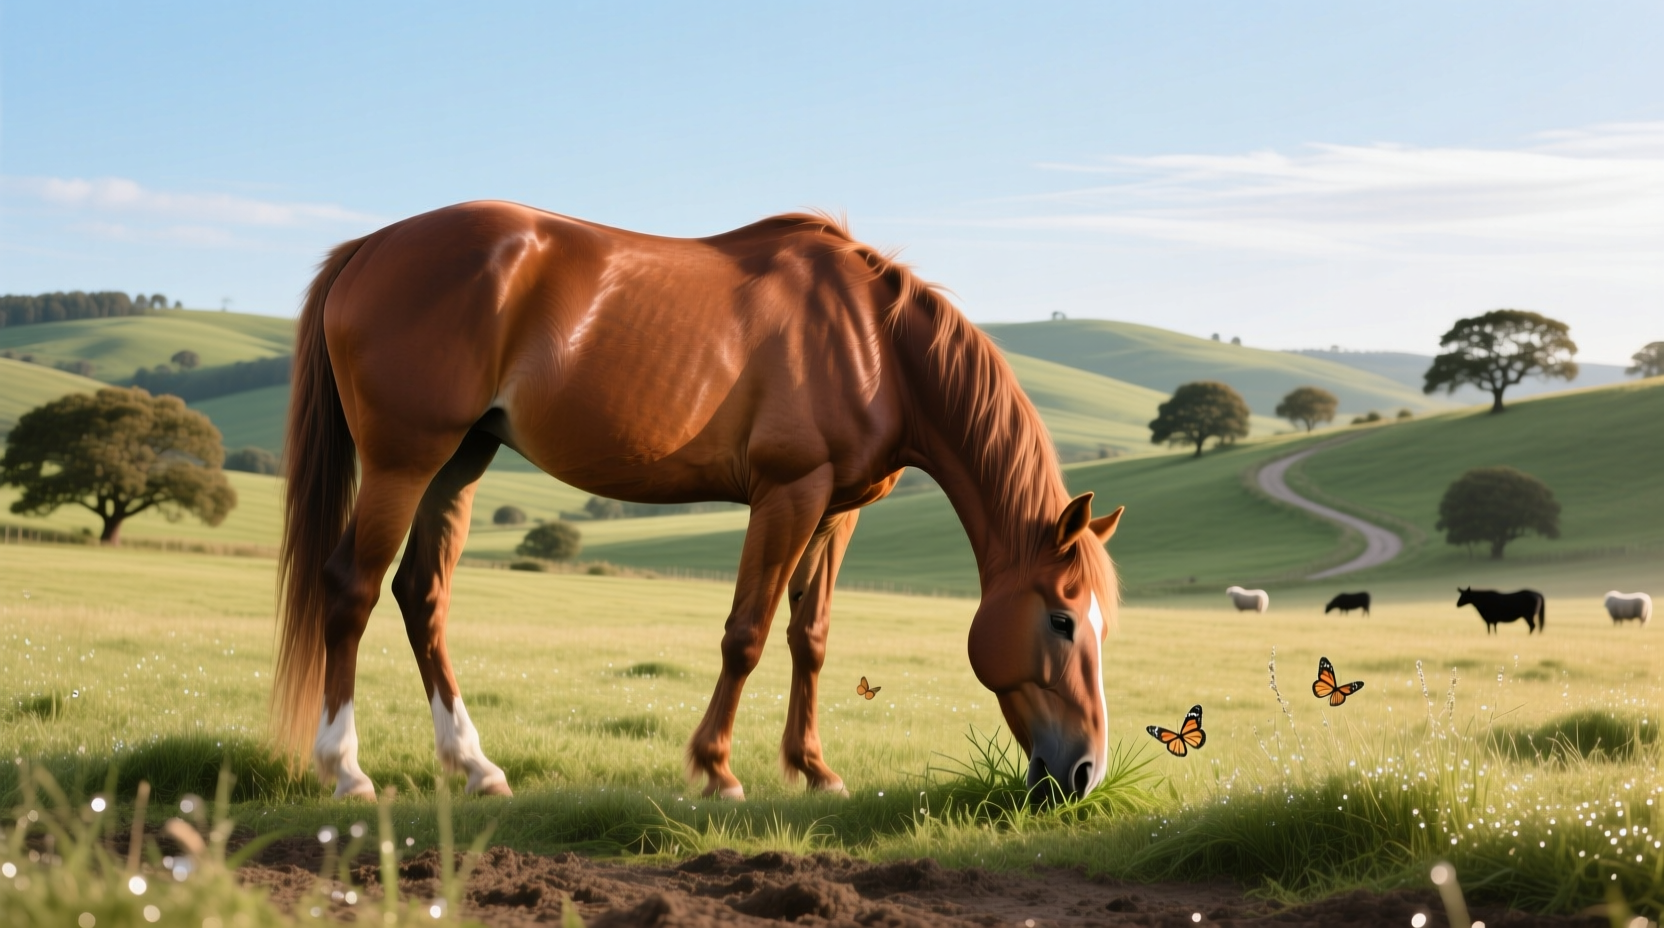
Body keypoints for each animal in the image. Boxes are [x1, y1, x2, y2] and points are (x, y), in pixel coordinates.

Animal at [273, 202, 1124, 804]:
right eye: (1061, 620)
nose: (1083, 773)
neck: (876, 345)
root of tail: (369, 248)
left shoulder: (836, 511)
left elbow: (810, 638)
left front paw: (815, 770)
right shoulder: (790, 493)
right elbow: (746, 634)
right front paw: (717, 770)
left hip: (459, 462)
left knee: (422, 594)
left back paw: (475, 765)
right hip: (405, 462)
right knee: (351, 590)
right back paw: (346, 770)